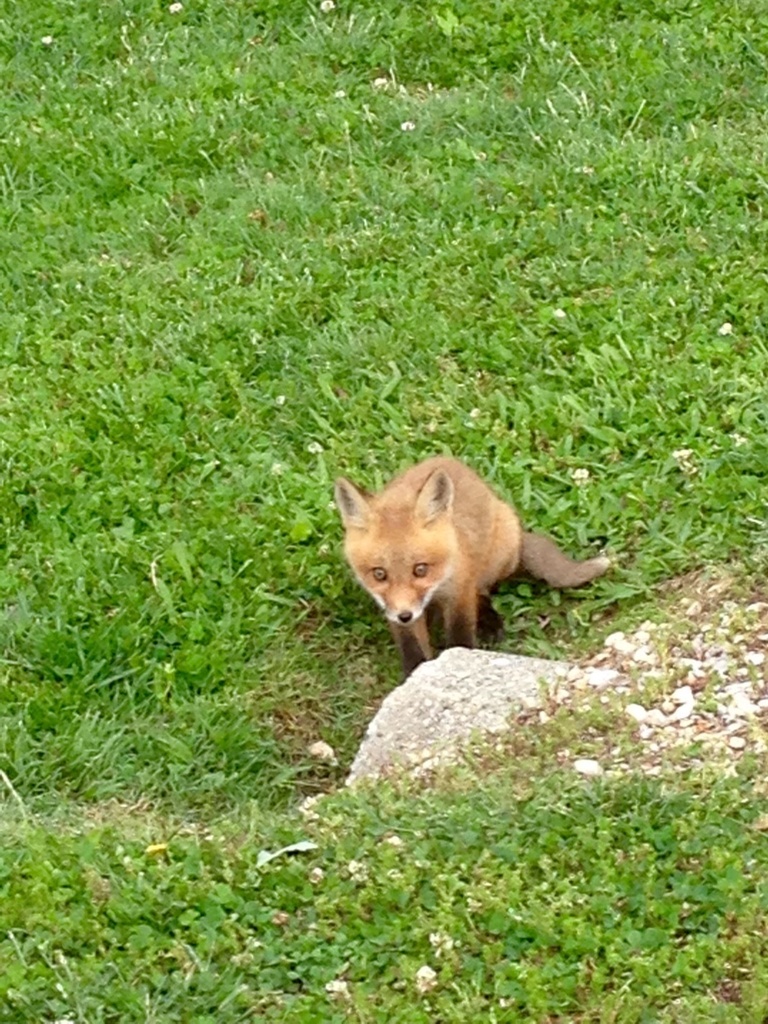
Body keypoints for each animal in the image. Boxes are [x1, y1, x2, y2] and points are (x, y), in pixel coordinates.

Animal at [334, 456, 610, 678]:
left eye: (420, 569)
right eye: (379, 574)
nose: (405, 615)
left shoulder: (460, 589)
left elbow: (460, 637)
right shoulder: (393, 608)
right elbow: (413, 649)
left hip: (499, 554)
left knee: (484, 591)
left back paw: (490, 622)